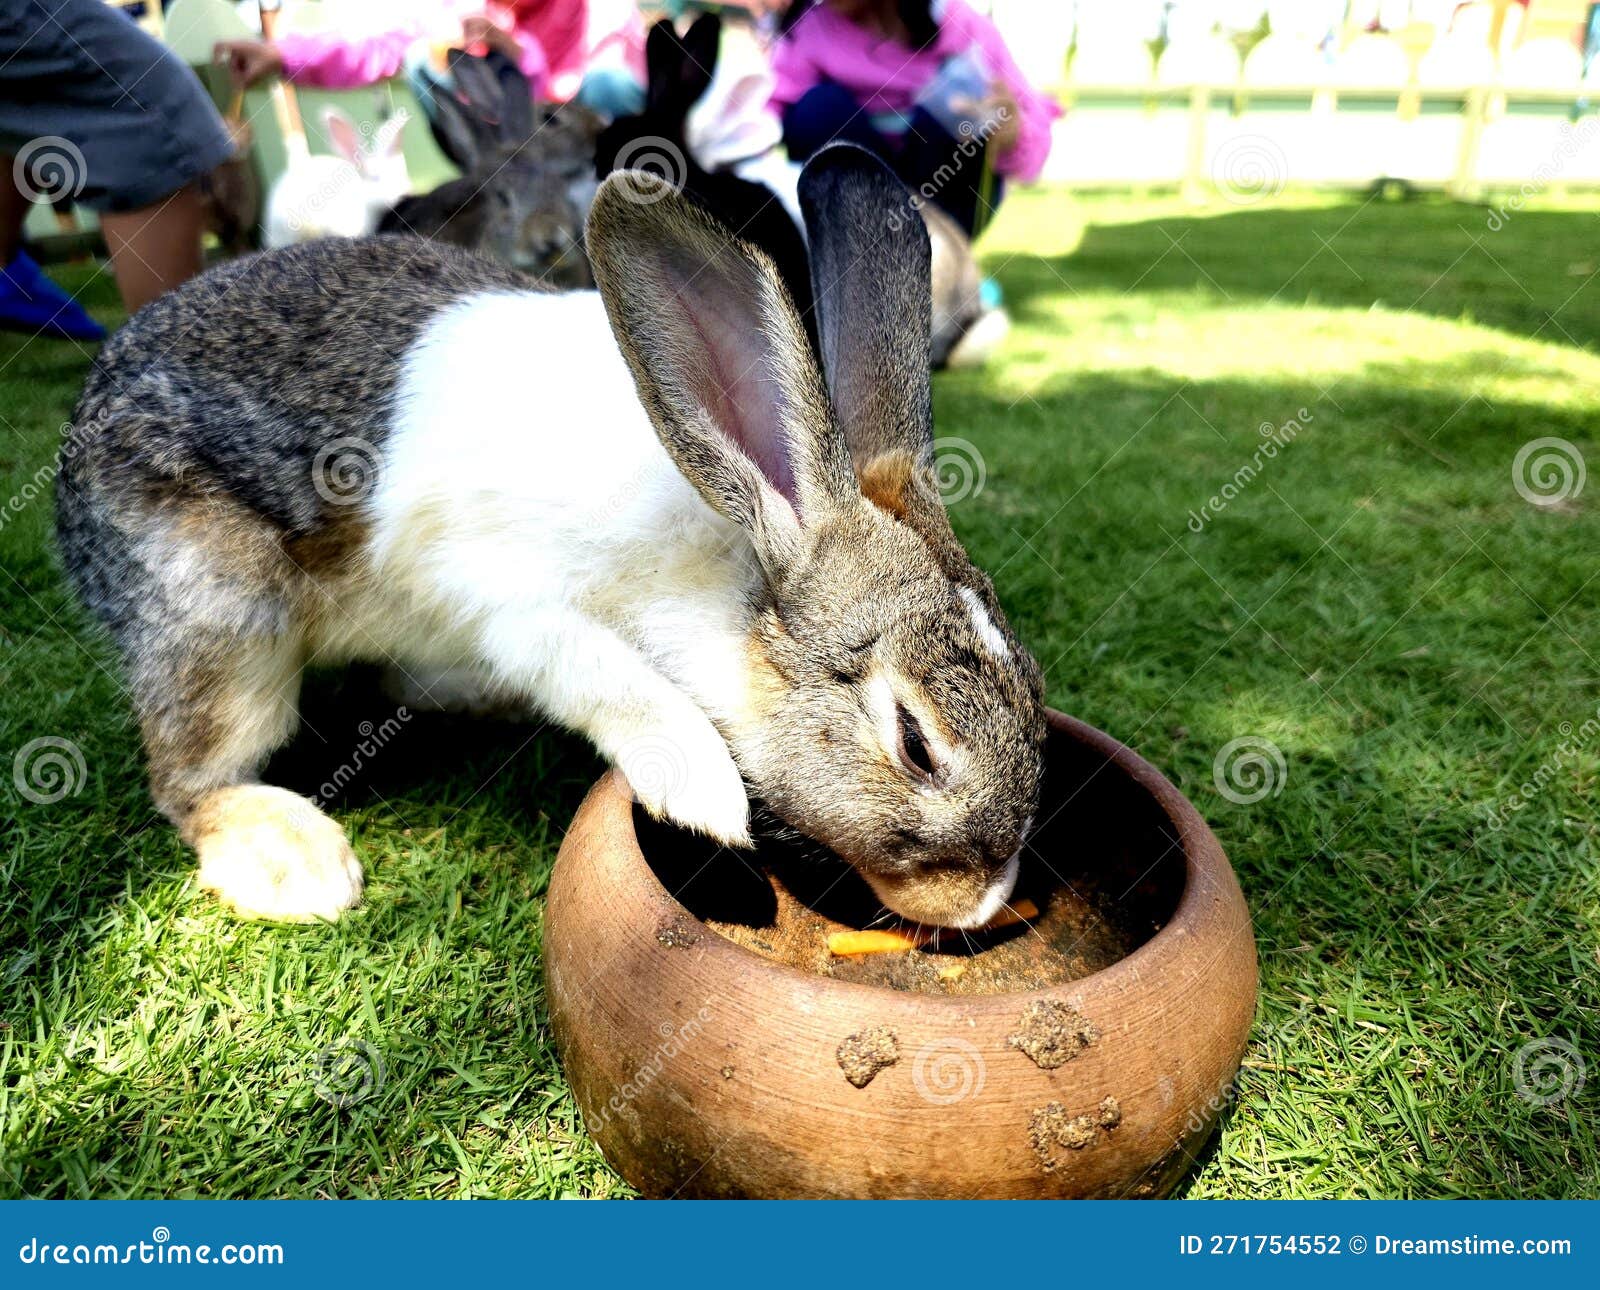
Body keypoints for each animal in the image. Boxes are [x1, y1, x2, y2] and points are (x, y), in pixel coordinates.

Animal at [56, 143, 1045, 930]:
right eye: (915, 744)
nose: (986, 900)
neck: (740, 524)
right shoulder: (519, 607)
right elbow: (610, 682)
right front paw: (704, 789)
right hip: (218, 616)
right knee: (191, 778)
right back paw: (291, 859)